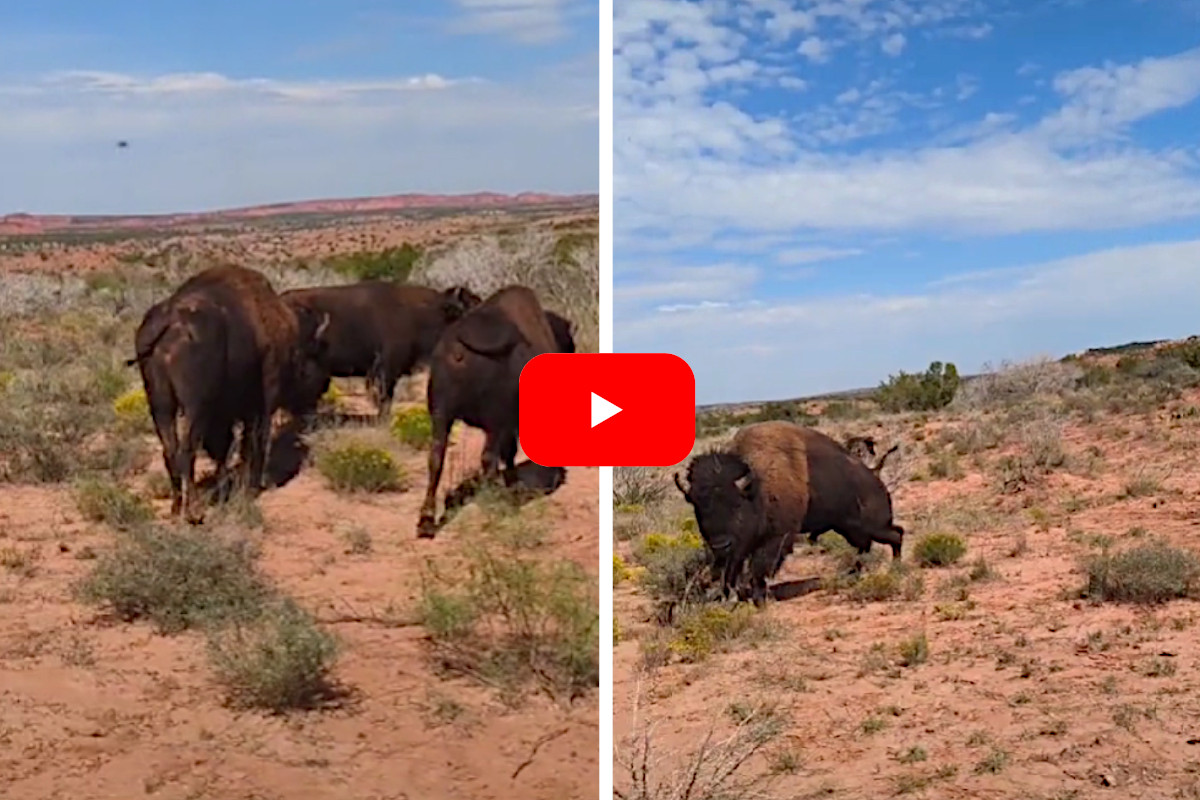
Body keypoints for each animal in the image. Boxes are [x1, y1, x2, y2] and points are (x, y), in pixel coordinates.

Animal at [128, 265, 333, 523]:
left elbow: (223, 450)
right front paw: (250, 487)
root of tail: (170, 321)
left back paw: (176, 508)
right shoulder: (260, 406)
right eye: (312, 361)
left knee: (171, 451)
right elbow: (253, 444)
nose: (323, 388)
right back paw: (195, 511)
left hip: (161, 406)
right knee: (187, 451)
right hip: (196, 407)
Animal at [416, 285, 575, 537]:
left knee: (436, 458)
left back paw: (426, 521)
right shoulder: (510, 420)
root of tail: (458, 343)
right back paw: (497, 503)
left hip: (441, 416)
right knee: (487, 458)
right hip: (491, 421)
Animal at [674, 420, 905, 604]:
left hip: (872, 526)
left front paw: (759, 599)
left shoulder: (777, 538)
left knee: (896, 535)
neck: (755, 488)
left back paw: (895, 568)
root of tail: (878, 482)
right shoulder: (738, 549)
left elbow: (760, 568)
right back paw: (853, 573)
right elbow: (734, 570)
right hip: (850, 529)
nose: (720, 544)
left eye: (736, 505)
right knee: (868, 545)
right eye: (698, 508)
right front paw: (730, 595)